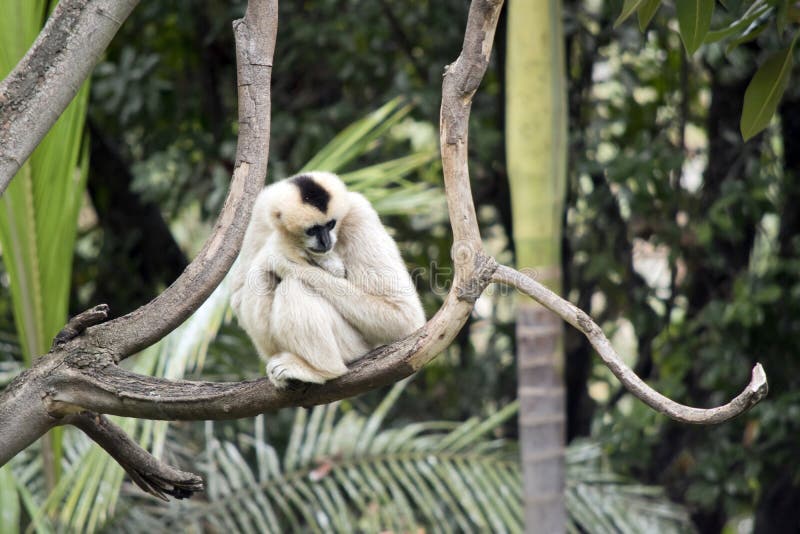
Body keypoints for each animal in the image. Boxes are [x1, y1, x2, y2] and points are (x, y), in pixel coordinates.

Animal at [230, 171, 426, 388]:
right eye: (312, 230)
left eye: (331, 224)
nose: (326, 241)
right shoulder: (260, 210)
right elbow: (238, 294)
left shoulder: (359, 214)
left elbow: (402, 315)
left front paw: (285, 254)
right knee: (263, 278)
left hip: (354, 346)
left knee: (294, 285)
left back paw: (323, 370)